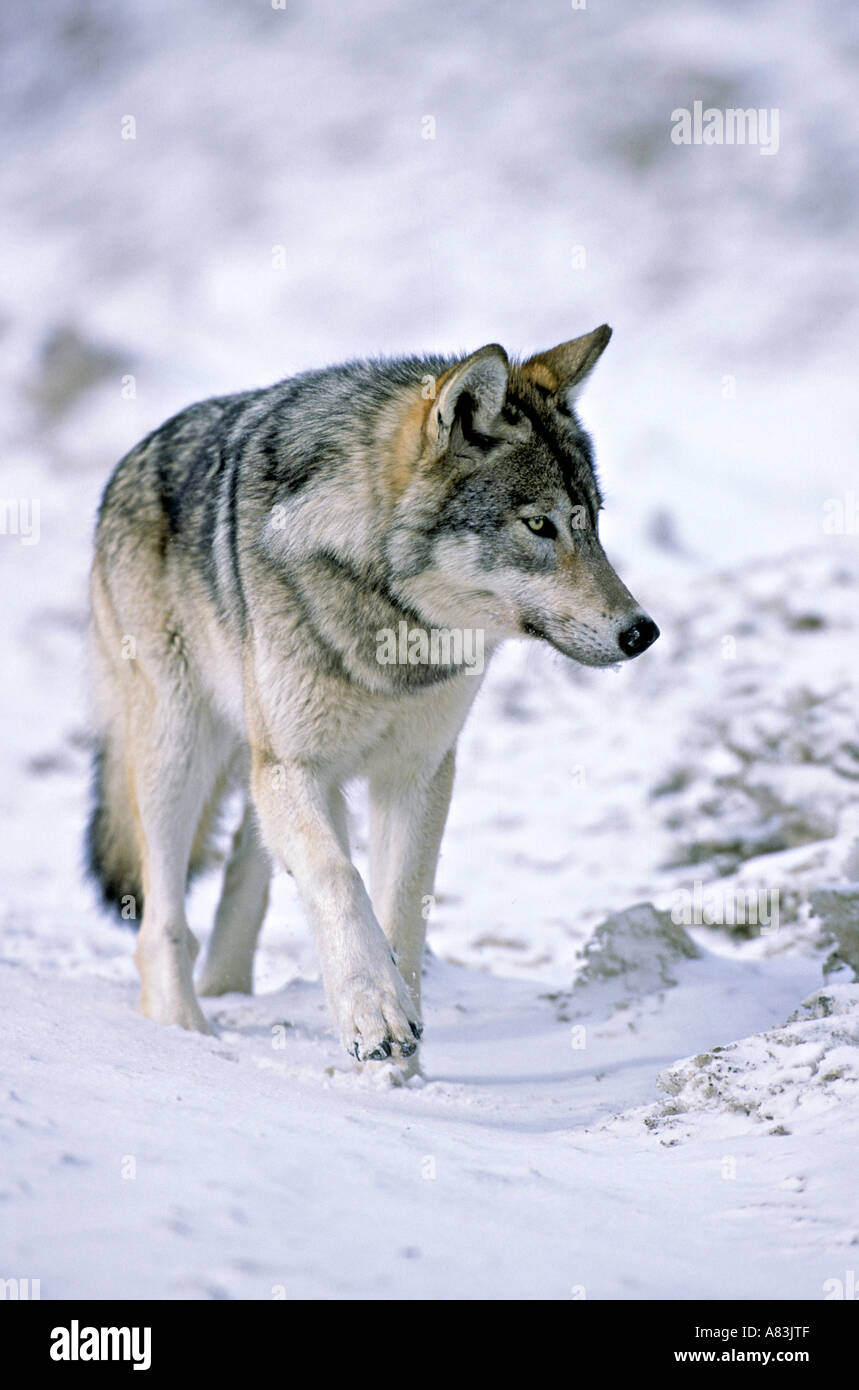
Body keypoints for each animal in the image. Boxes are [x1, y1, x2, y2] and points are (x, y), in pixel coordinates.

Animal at [86, 324, 658, 1072]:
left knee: (248, 855)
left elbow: (400, 913)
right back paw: (186, 1028)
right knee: (160, 917)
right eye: (539, 526)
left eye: (591, 522)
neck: (392, 631)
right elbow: (337, 874)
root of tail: (129, 461)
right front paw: (373, 1010)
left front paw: (403, 1064)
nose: (642, 632)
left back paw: (230, 991)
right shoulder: (293, 765)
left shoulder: (418, 773)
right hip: (182, 749)